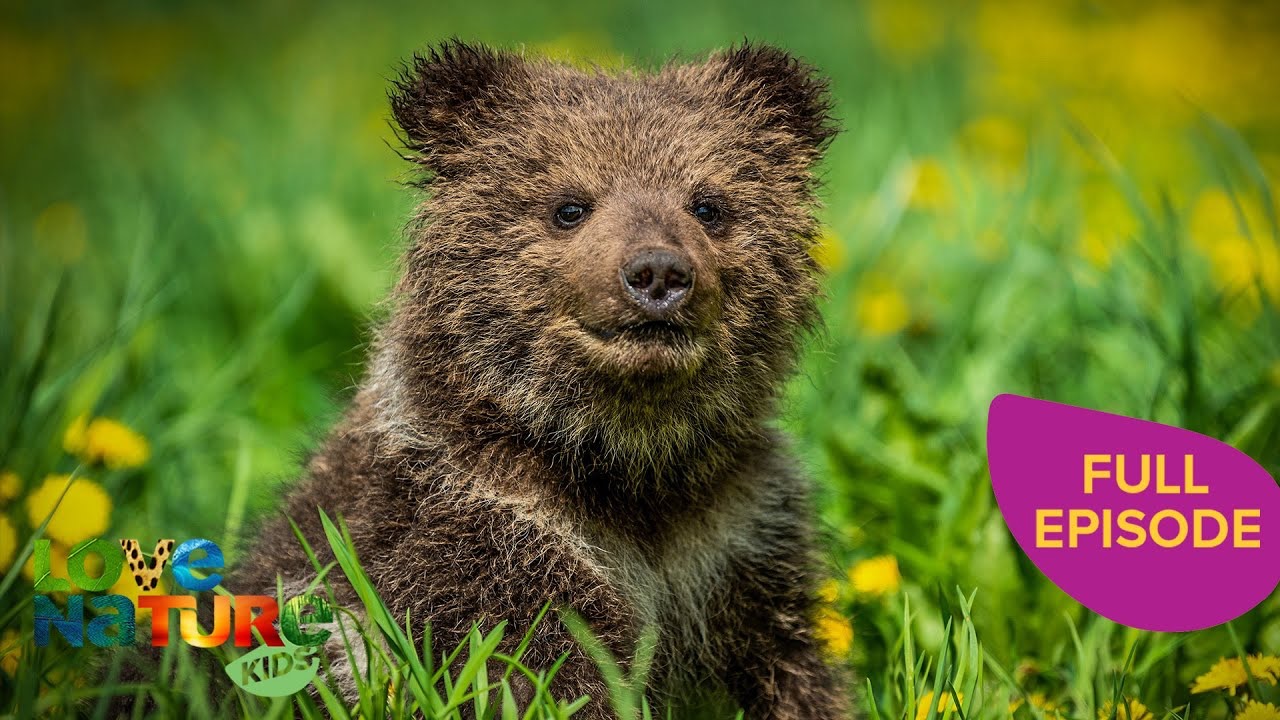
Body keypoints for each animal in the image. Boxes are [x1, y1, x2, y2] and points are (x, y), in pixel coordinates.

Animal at [234, 39, 847, 719]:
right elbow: (539, 669)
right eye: (569, 206)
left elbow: (784, 666)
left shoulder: (736, 536)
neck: (628, 466)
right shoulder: (482, 531)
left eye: (709, 205)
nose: (658, 272)